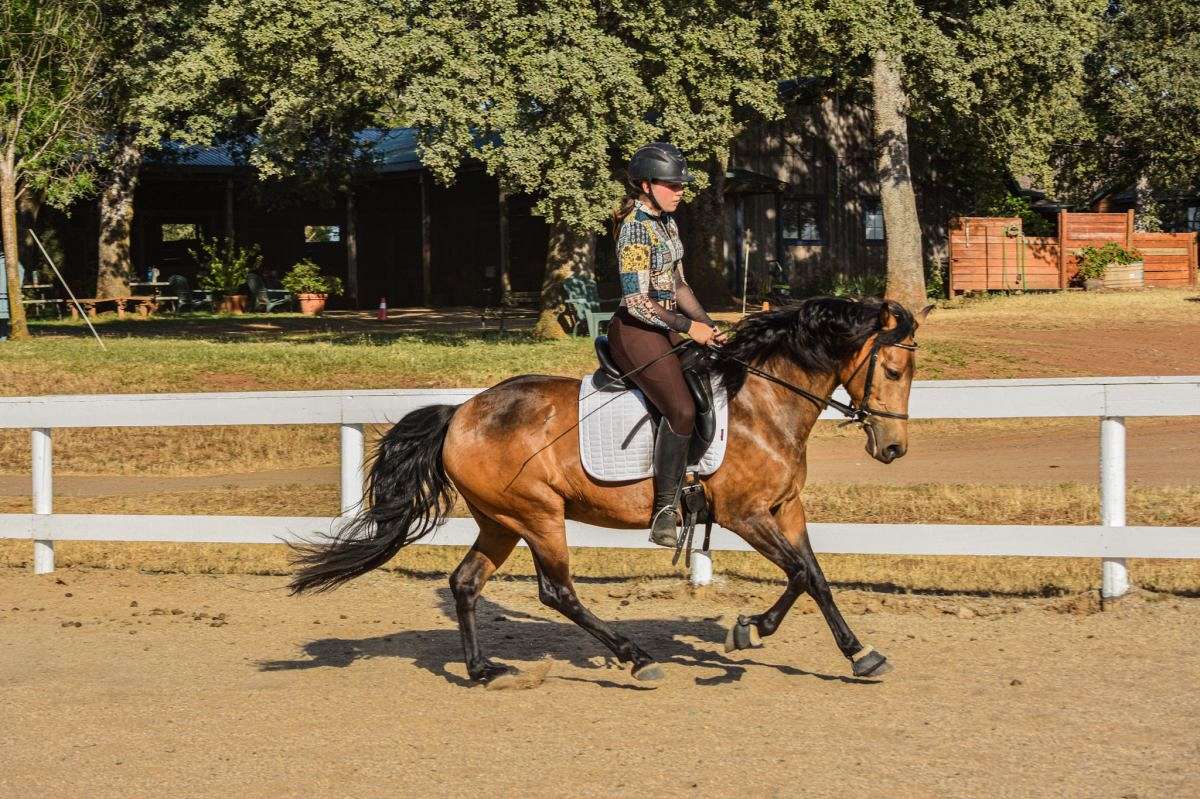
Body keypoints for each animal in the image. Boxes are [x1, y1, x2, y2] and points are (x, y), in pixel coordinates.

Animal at [289, 296, 928, 684]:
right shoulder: (746, 515)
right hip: (539, 517)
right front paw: (749, 632)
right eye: (895, 371)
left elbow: (815, 577)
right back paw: (635, 658)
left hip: (500, 521)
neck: (764, 405)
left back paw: (483, 670)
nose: (894, 449)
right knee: (557, 592)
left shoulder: (785, 509)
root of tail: (460, 414)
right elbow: (797, 573)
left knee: (466, 582)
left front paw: (860, 653)